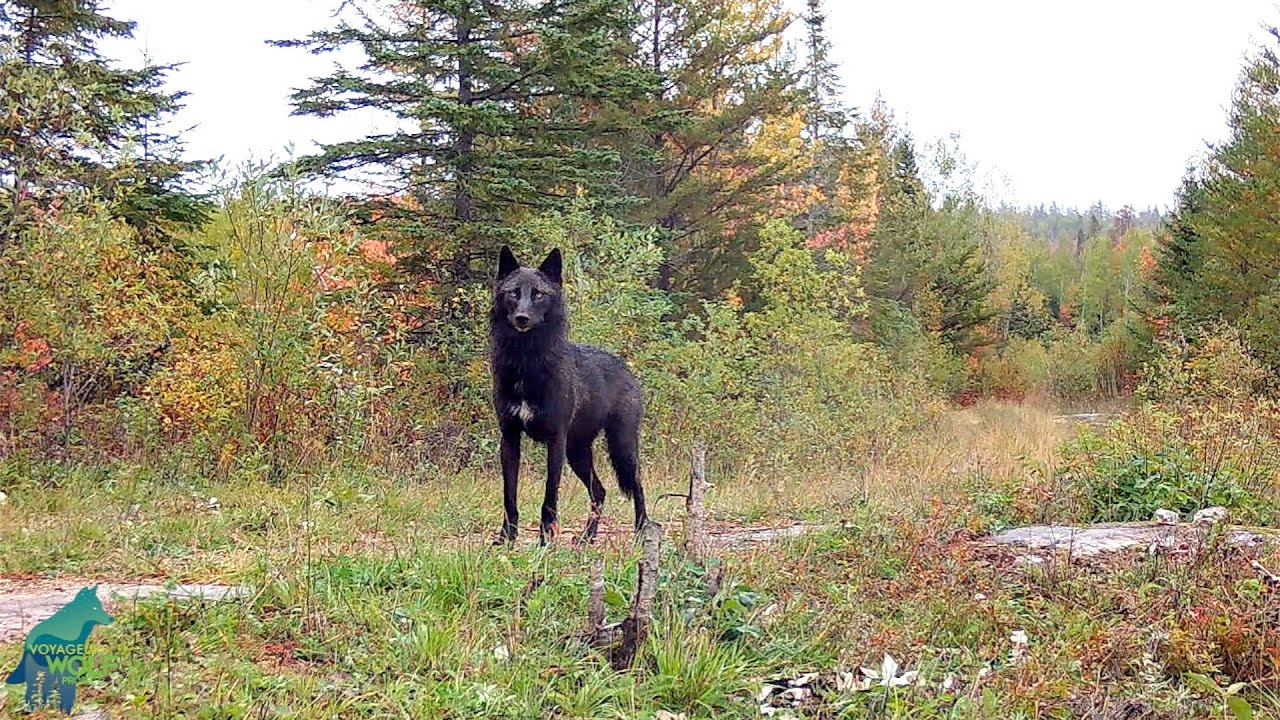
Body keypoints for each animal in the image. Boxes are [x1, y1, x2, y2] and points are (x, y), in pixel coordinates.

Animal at [490, 246, 647, 545]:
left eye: (538, 294)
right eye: (513, 293)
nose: (522, 318)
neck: (526, 363)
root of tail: (625, 367)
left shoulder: (556, 442)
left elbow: (549, 496)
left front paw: (545, 541)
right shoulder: (510, 440)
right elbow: (508, 496)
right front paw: (507, 538)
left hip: (621, 448)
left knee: (637, 487)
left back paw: (643, 532)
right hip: (578, 453)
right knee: (600, 491)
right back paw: (587, 537)